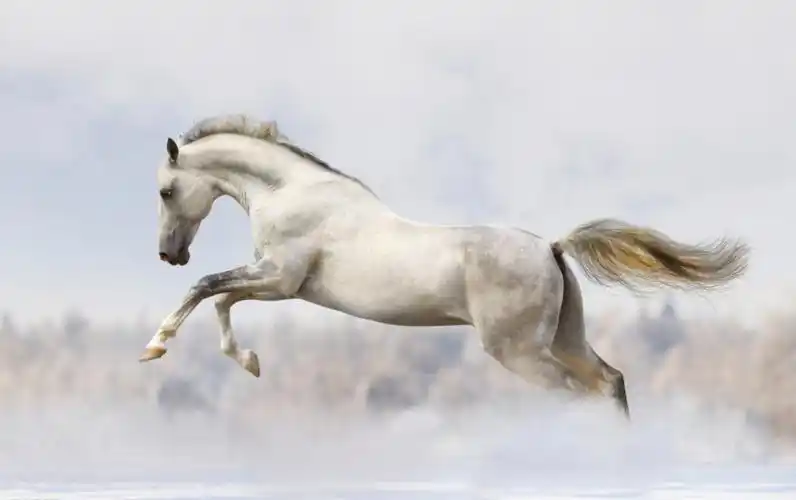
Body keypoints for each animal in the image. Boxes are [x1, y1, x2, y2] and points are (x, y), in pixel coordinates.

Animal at [140, 113, 750, 418]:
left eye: (167, 191)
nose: (170, 254)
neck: (291, 191)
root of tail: (551, 248)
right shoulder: (278, 283)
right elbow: (221, 298)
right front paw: (250, 363)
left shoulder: (280, 279)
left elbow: (207, 287)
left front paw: (155, 347)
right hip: (565, 338)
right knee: (610, 382)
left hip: (519, 351)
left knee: (579, 394)